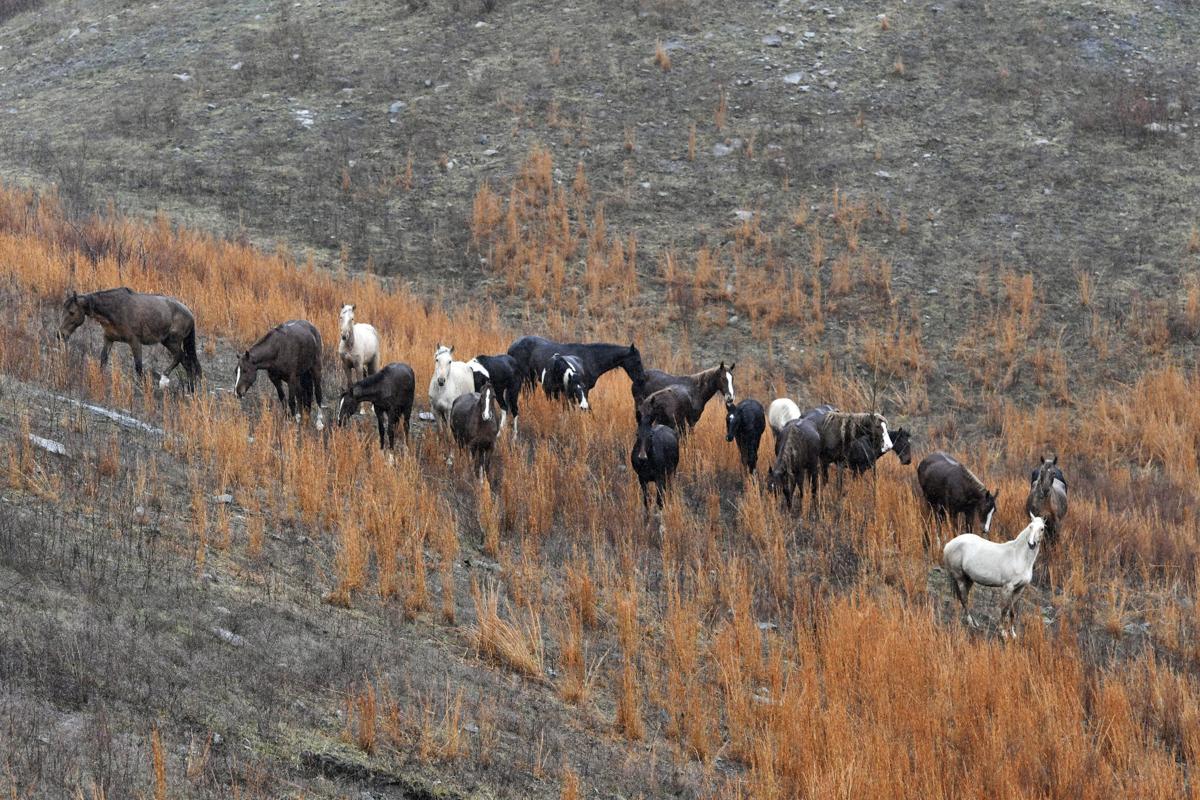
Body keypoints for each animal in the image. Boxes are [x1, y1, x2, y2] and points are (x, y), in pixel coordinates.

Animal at [58, 287, 202, 390]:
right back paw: (190, 389)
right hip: (169, 342)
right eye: (63, 310)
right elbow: (103, 359)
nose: (60, 335)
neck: (116, 309)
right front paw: (100, 379)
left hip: (171, 341)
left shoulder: (135, 342)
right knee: (187, 363)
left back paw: (164, 379)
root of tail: (190, 313)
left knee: (179, 357)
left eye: (71, 312)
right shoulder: (108, 339)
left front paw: (141, 387)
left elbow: (138, 366)